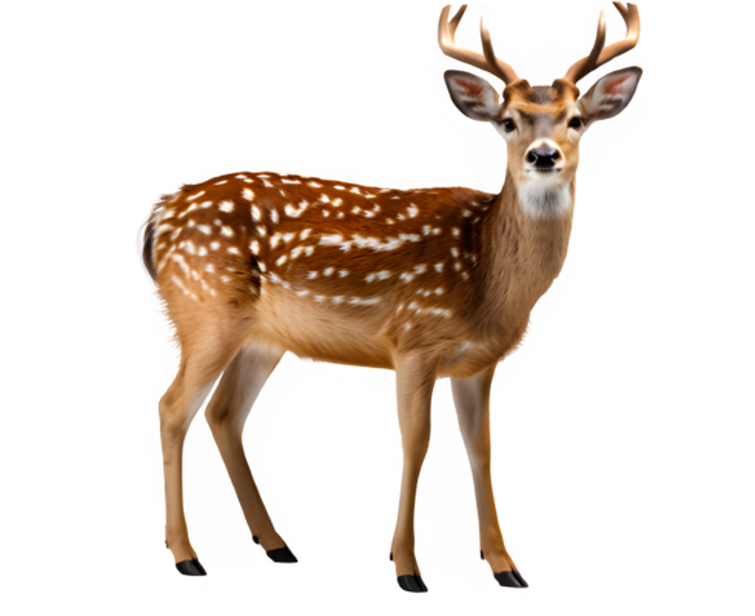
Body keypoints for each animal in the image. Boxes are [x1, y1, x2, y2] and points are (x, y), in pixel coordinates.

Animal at [134, 0, 644, 592]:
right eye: (508, 121)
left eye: (576, 121)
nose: (544, 156)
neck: (486, 277)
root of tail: (157, 213)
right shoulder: (413, 340)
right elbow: (417, 443)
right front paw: (405, 570)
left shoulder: (479, 362)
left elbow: (481, 450)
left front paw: (506, 569)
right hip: (202, 313)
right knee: (172, 408)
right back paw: (187, 557)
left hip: (262, 338)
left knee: (225, 415)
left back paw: (278, 547)